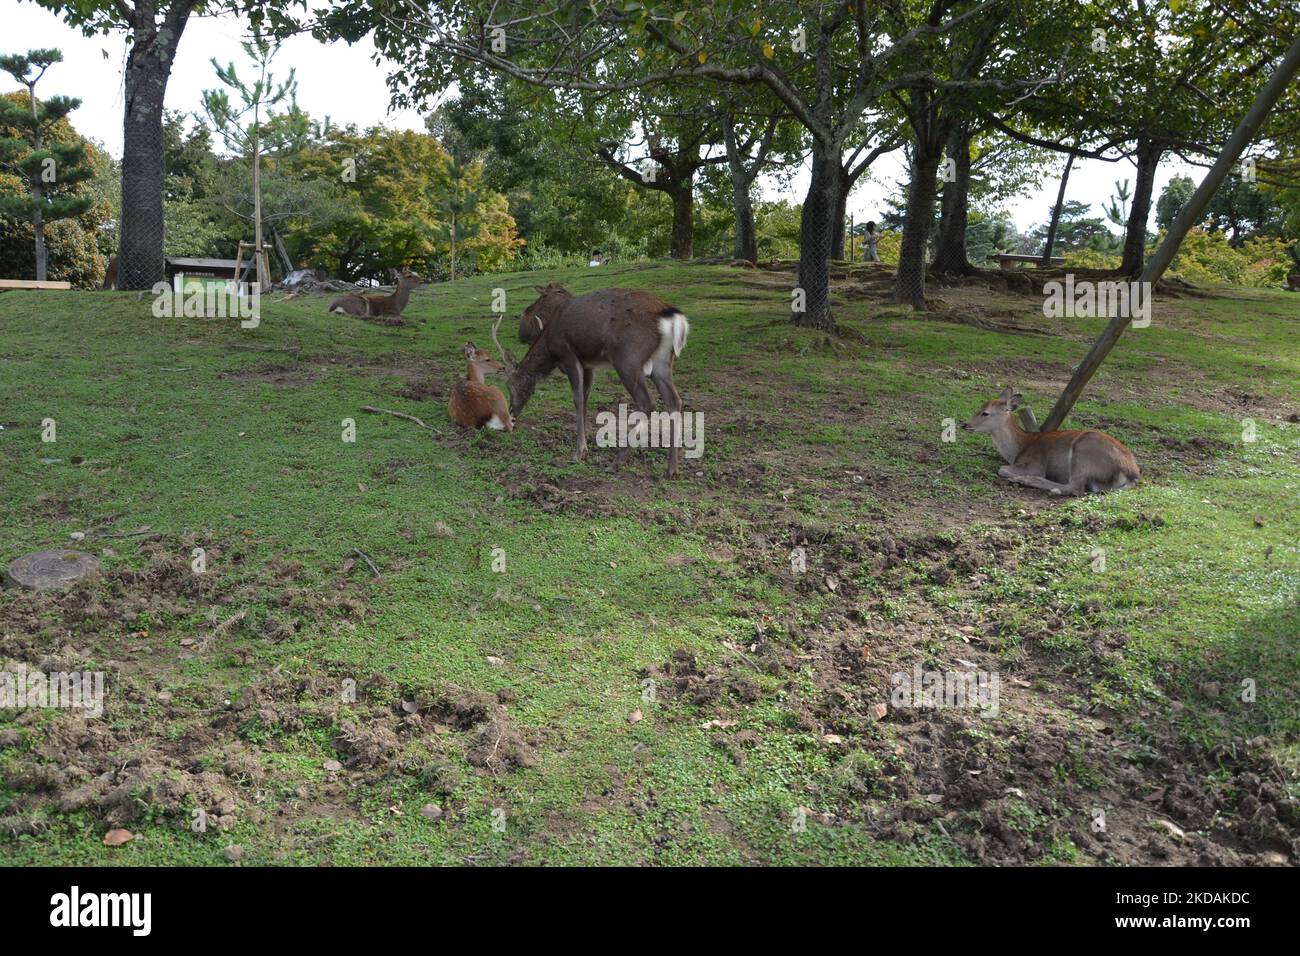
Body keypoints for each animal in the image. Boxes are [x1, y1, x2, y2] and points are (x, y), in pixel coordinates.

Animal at [491, 283, 690, 478]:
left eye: (510, 384)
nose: (511, 413)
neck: (549, 347)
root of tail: (673, 316)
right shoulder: (589, 364)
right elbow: (585, 398)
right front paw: (585, 446)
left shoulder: (569, 355)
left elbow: (577, 399)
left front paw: (579, 452)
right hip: (662, 361)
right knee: (674, 401)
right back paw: (671, 470)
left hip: (627, 358)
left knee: (648, 403)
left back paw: (616, 463)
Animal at [963, 387, 1140, 496]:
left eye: (985, 413)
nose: (965, 425)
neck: (1018, 448)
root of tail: (1132, 474)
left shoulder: (1034, 464)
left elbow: (1002, 469)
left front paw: (1018, 476)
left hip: (1083, 453)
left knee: (1075, 488)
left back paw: (1027, 480)